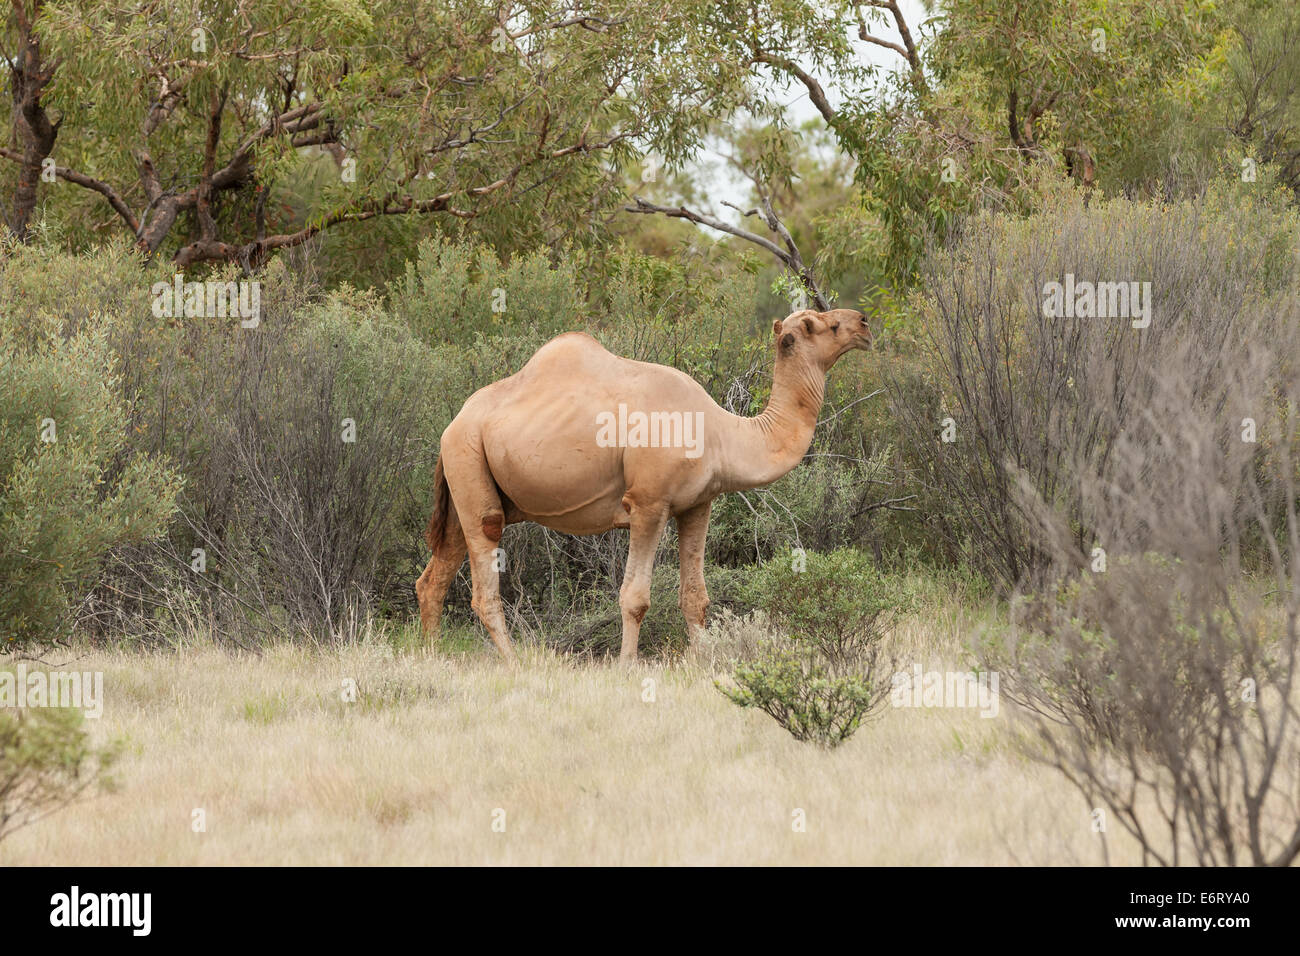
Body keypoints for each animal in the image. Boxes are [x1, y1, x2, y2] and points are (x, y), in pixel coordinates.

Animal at [415, 307, 873, 662]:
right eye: (824, 325)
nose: (865, 322)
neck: (720, 432)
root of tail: (452, 424)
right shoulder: (648, 503)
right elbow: (635, 597)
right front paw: (627, 666)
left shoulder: (697, 505)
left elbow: (695, 597)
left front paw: (702, 661)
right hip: (468, 462)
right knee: (483, 580)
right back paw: (515, 663)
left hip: (465, 484)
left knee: (432, 579)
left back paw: (433, 656)